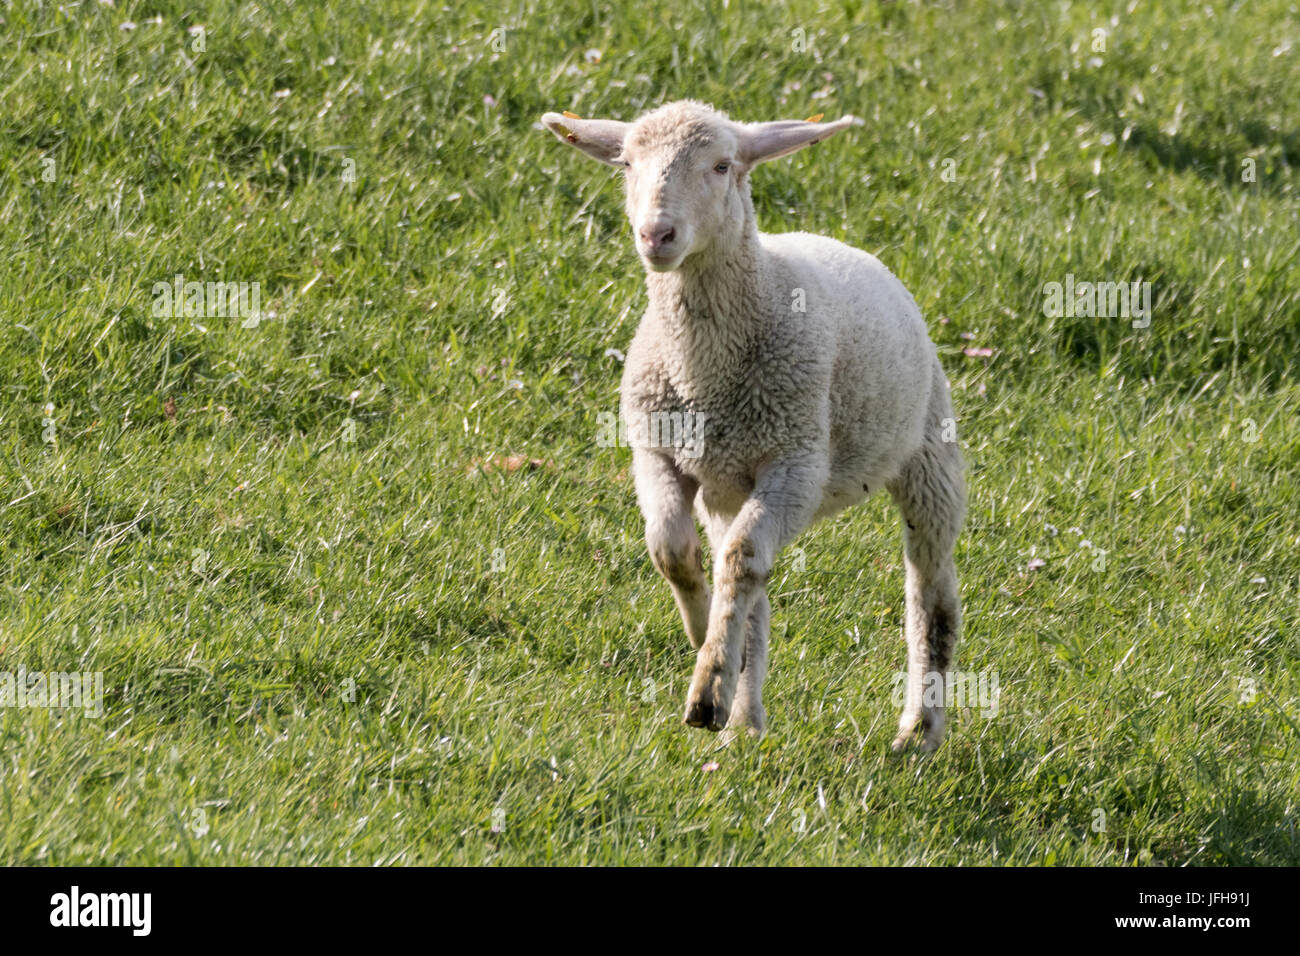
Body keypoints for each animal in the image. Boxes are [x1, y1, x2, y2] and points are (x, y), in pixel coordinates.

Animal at [541, 100, 966, 751]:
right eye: (628, 163)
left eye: (721, 165)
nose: (656, 234)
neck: (704, 371)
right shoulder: (657, 451)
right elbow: (672, 549)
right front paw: (708, 648)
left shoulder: (796, 465)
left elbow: (739, 561)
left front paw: (708, 675)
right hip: (726, 485)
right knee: (747, 583)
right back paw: (742, 718)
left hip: (927, 453)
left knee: (930, 594)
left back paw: (919, 731)